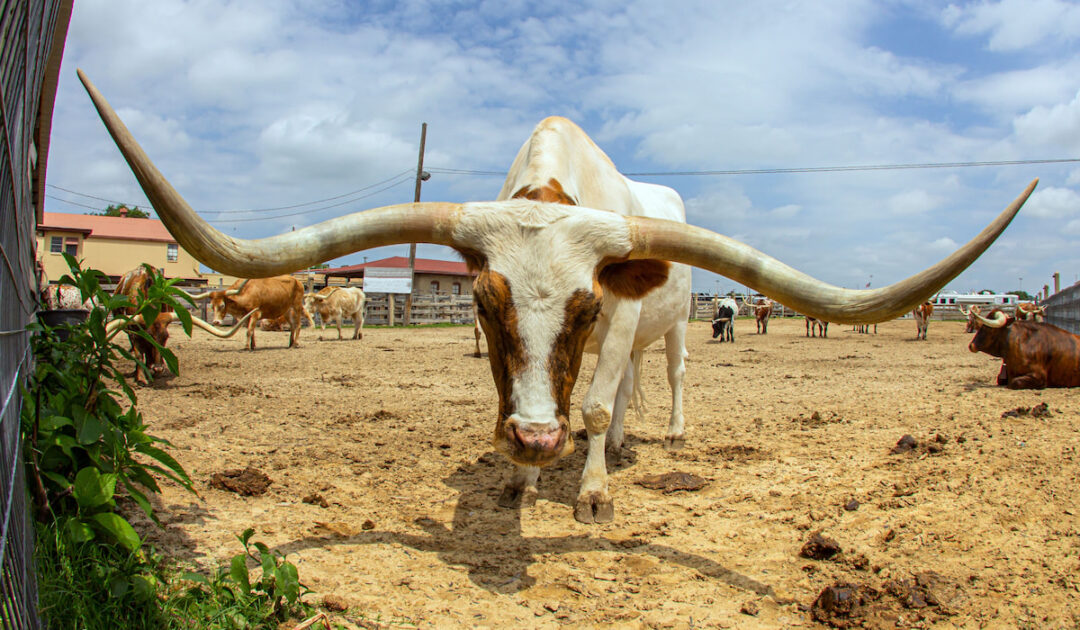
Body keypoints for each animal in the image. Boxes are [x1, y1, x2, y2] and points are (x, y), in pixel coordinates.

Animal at [80, 69, 1036, 523]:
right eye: (483, 304)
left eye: (581, 308)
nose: (536, 439)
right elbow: (548, 402)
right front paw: (525, 478)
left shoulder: (617, 322)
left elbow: (596, 400)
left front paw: (590, 490)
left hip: (676, 328)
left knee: (667, 377)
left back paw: (656, 435)